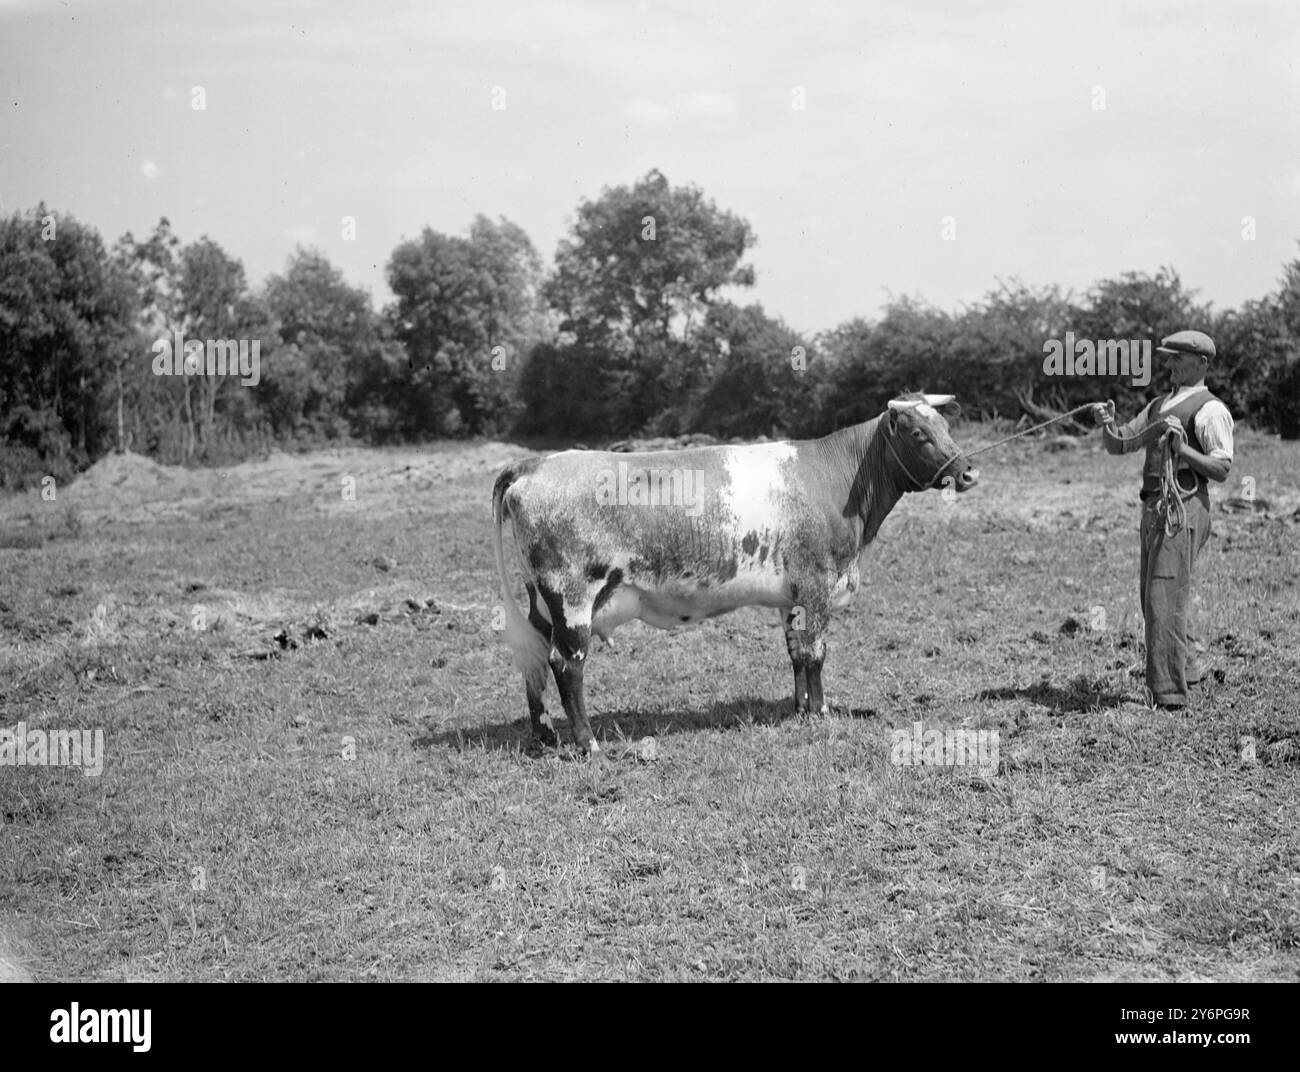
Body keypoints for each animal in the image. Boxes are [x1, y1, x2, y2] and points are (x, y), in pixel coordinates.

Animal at [491, 392, 979, 753]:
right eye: (918, 433)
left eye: (946, 427)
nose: (968, 472)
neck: (841, 480)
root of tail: (532, 465)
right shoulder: (818, 586)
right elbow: (816, 653)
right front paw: (820, 713)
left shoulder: (792, 595)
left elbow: (796, 653)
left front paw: (799, 708)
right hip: (572, 597)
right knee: (566, 665)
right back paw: (588, 743)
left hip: (541, 601)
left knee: (536, 656)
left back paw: (544, 734)